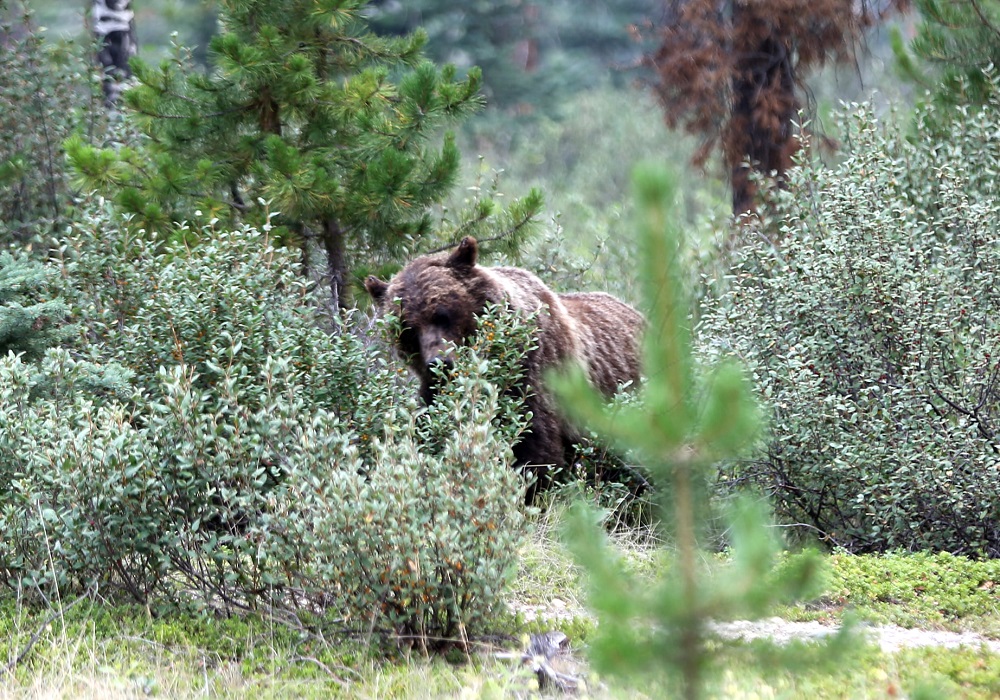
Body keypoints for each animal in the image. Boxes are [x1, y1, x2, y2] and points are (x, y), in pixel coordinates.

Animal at [365, 236, 644, 499]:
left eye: (442, 313)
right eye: (408, 328)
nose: (439, 363)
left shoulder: (533, 377)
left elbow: (535, 450)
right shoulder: (434, 394)